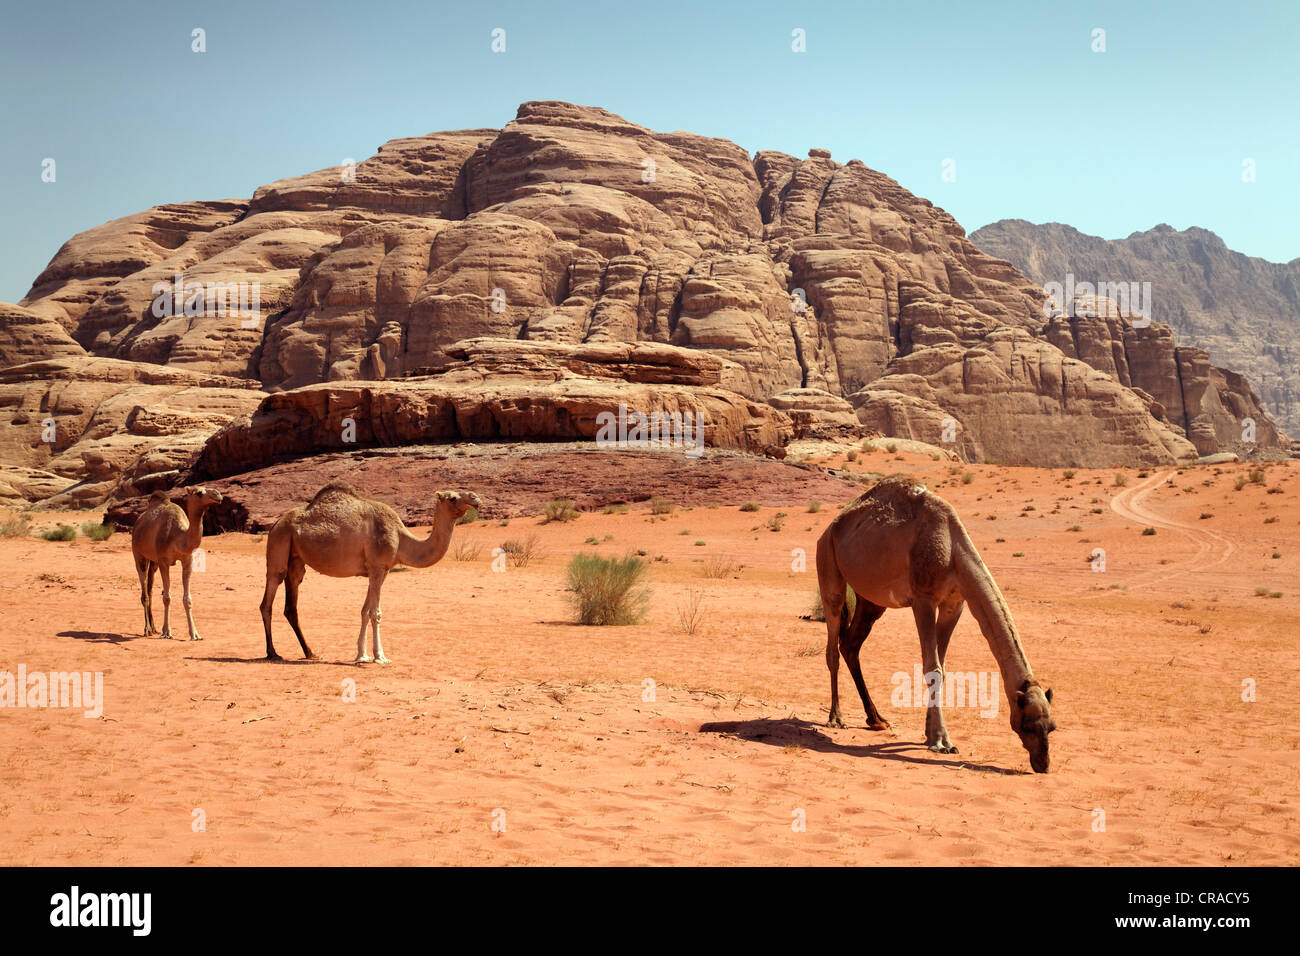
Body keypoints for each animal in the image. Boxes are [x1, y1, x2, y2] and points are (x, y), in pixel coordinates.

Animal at [130, 487, 224, 641]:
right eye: (199, 492)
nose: (218, 494)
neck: (177, 537)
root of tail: (137, 523)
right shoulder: (163, 561)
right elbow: (167, 597)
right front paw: (167, 632)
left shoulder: (187, 560)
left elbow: (187, 599)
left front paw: (195, 634)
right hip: (138, 554)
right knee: (144, 592)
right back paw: (147, 629)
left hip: (153, 562)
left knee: (149, 590)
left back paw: (154, 628)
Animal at [259, 481, 482, 664]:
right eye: (452, 498)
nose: (476, 498)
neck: (401, 538)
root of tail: (275, 523)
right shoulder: (377, 567)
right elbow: (375, 612)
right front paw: (379, 656)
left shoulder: (382, 571)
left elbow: (365, 611)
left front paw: (362, 654)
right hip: (279, 541)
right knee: (268, 597)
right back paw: (273, 653)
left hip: (295, 559)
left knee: (291, 603)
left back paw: (310, 653)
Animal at [816, 475, 1056, 772]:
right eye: (1027, 725)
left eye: (1051, 727)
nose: (1043, 763)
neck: (953, 549)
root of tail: (830, 527)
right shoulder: (923, 599)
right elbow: (933, 667)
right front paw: (942, 741)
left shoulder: (955, 603)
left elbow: (941, 663)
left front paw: (929, 734)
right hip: (828, 564)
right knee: (833, 643)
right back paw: (835, 718)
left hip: (871, 600)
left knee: (850, 644)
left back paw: (877, 719)